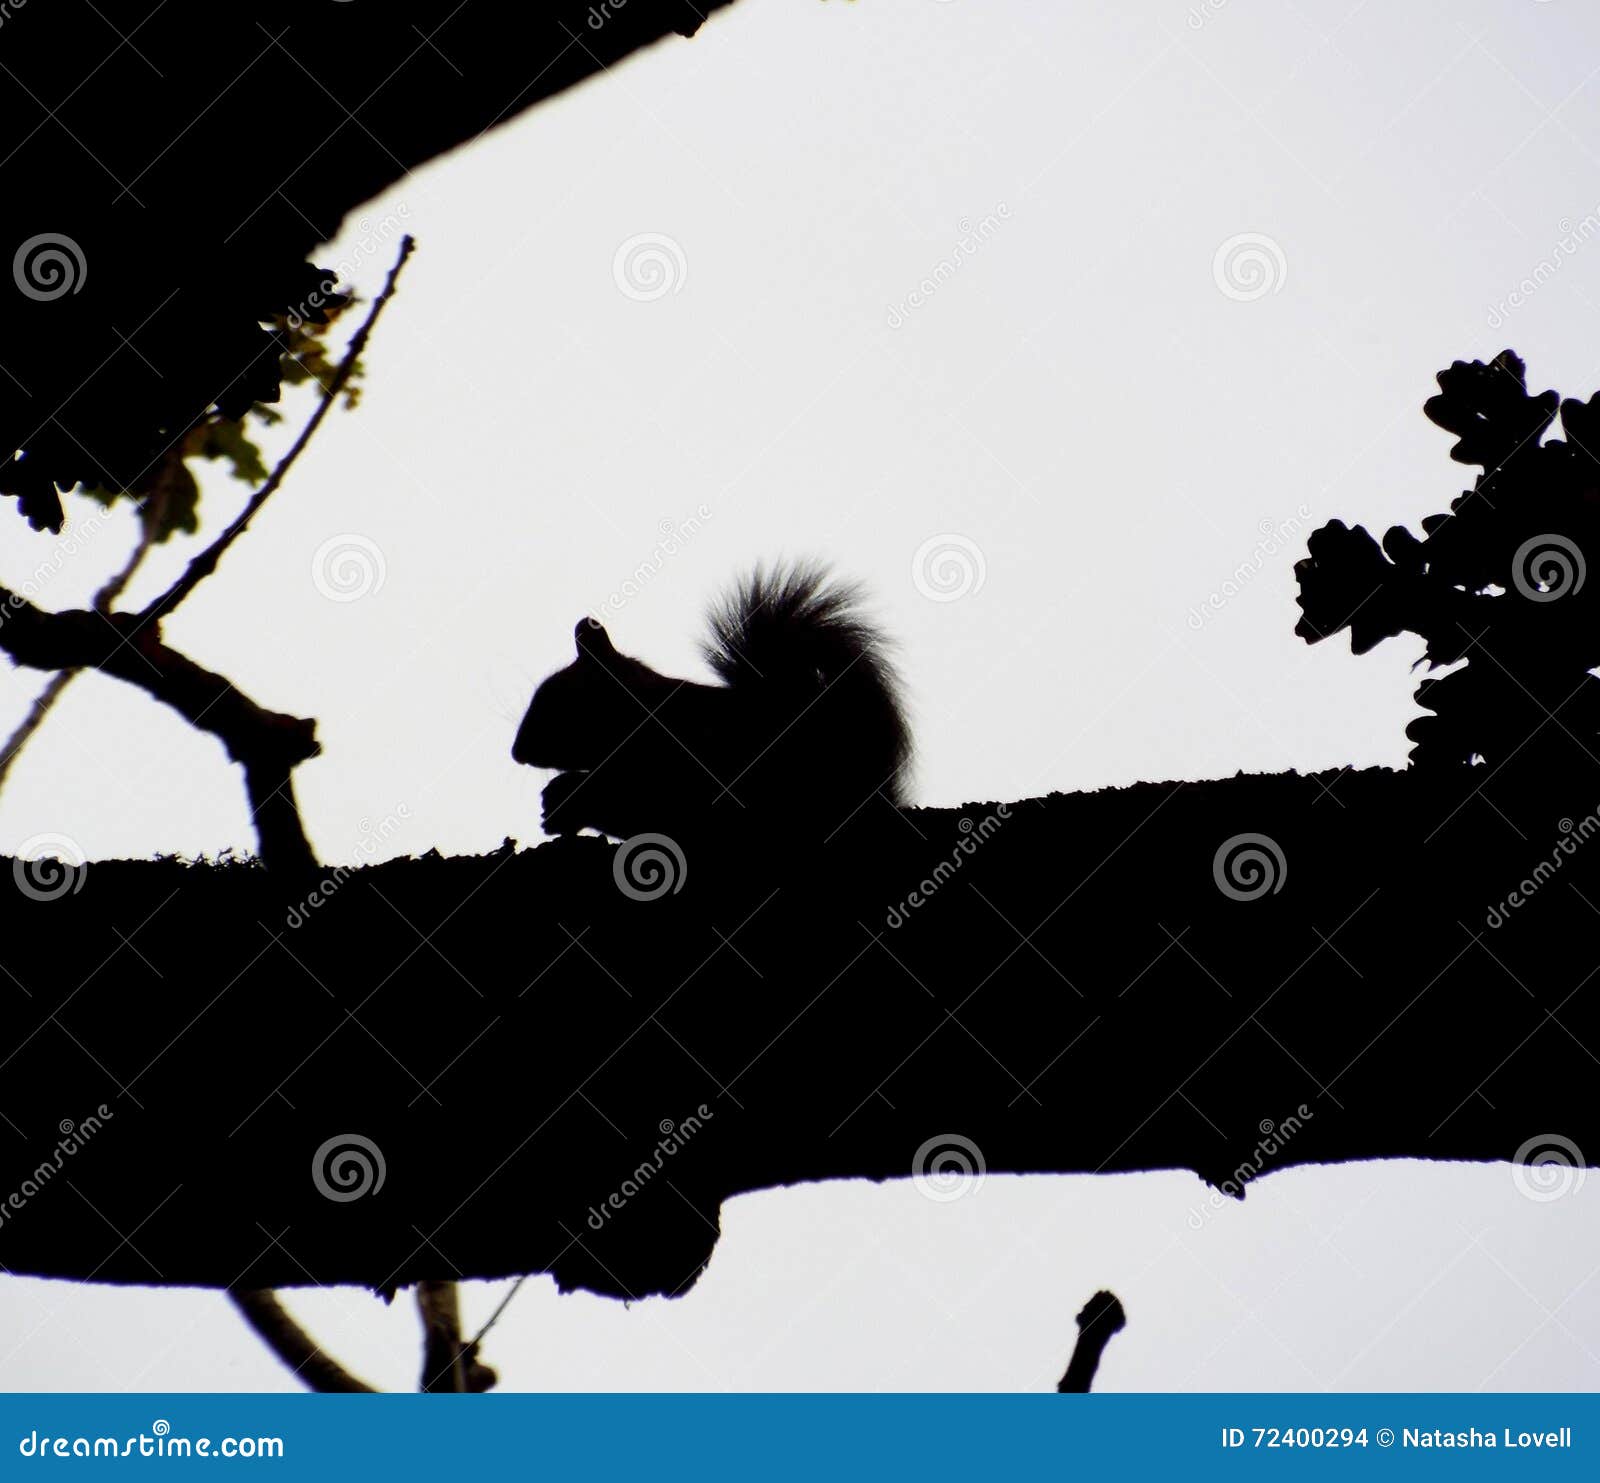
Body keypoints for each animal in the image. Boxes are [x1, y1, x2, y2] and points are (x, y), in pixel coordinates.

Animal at [511, 562, 911, 845]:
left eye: (559, 700)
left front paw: (567, 797)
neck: (641, 714)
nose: (516, 753)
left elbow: (632, 805)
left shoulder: (666, 767)